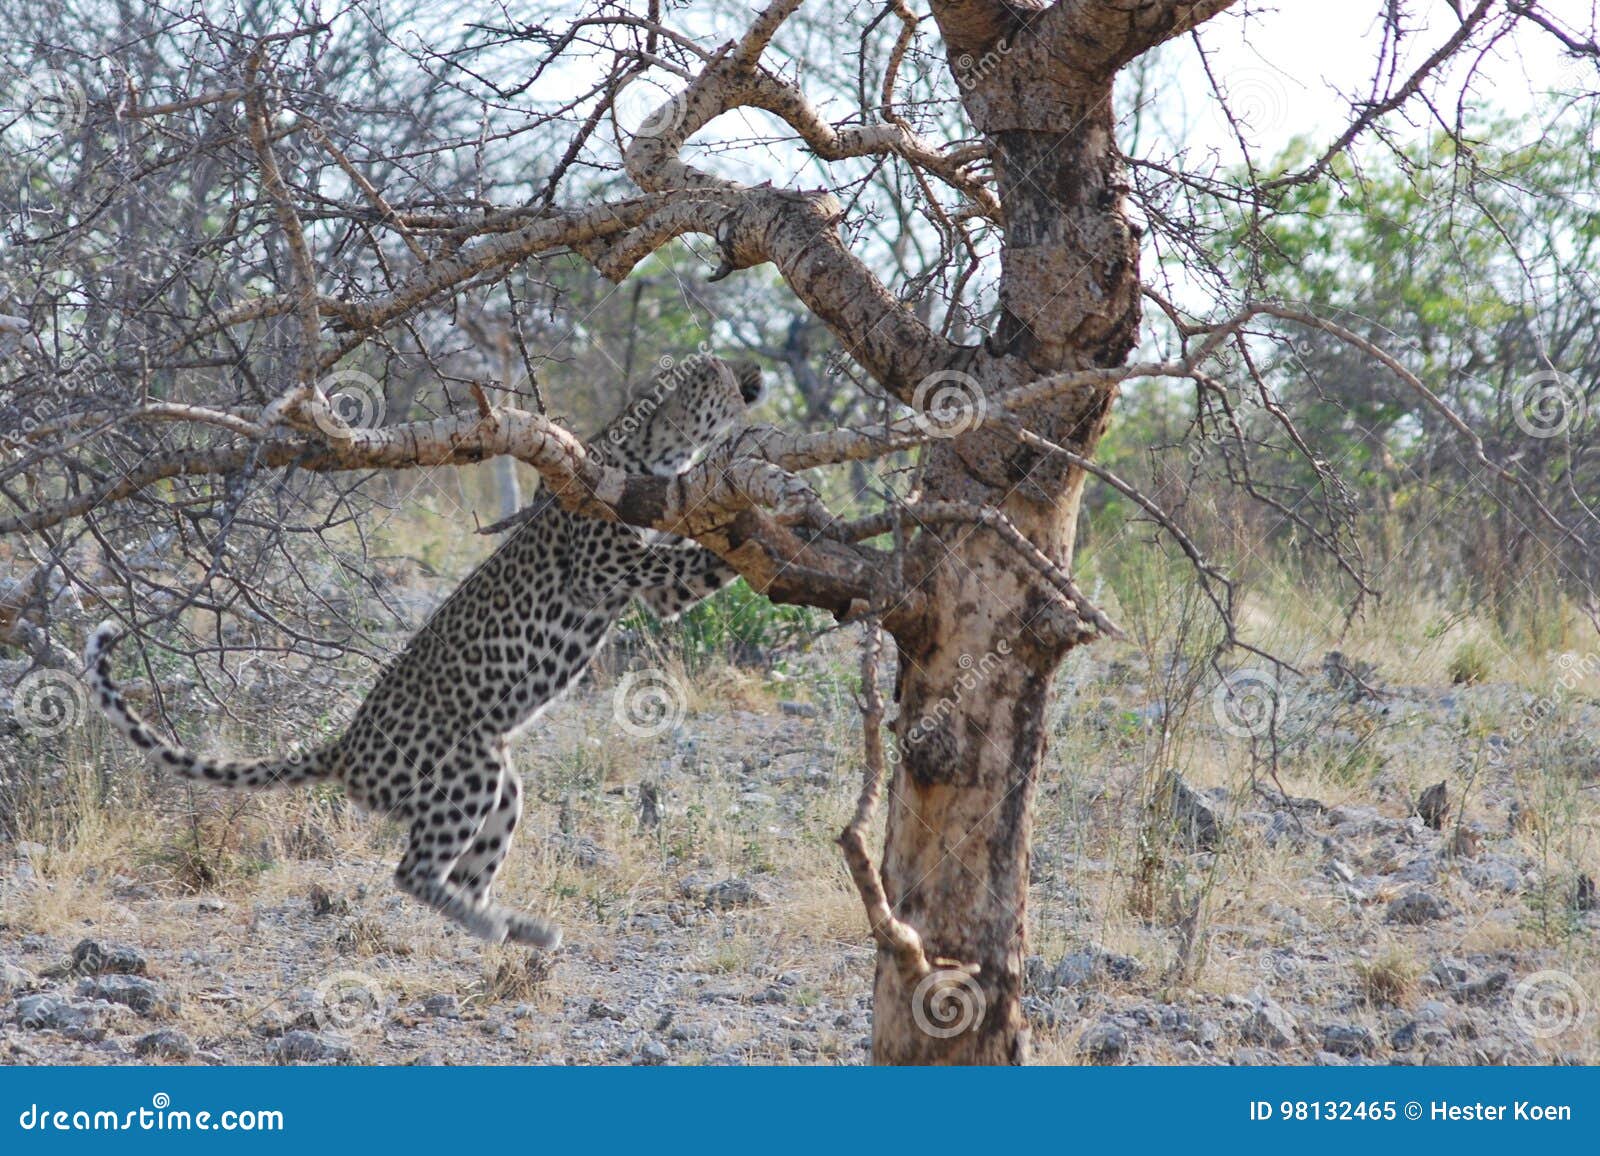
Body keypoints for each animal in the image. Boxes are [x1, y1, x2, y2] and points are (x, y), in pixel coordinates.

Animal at [84, 354, 761, 949]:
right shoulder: (603, 566)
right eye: (718, 372)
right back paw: (495, 926)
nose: (754, 376)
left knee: (462, 872)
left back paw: (519, 927)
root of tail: (346, 746)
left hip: (497, 783)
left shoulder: (659, 591)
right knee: (411, 873)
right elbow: (685, 556)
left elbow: (699, 567)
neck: (648, 449)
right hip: (466, 772)